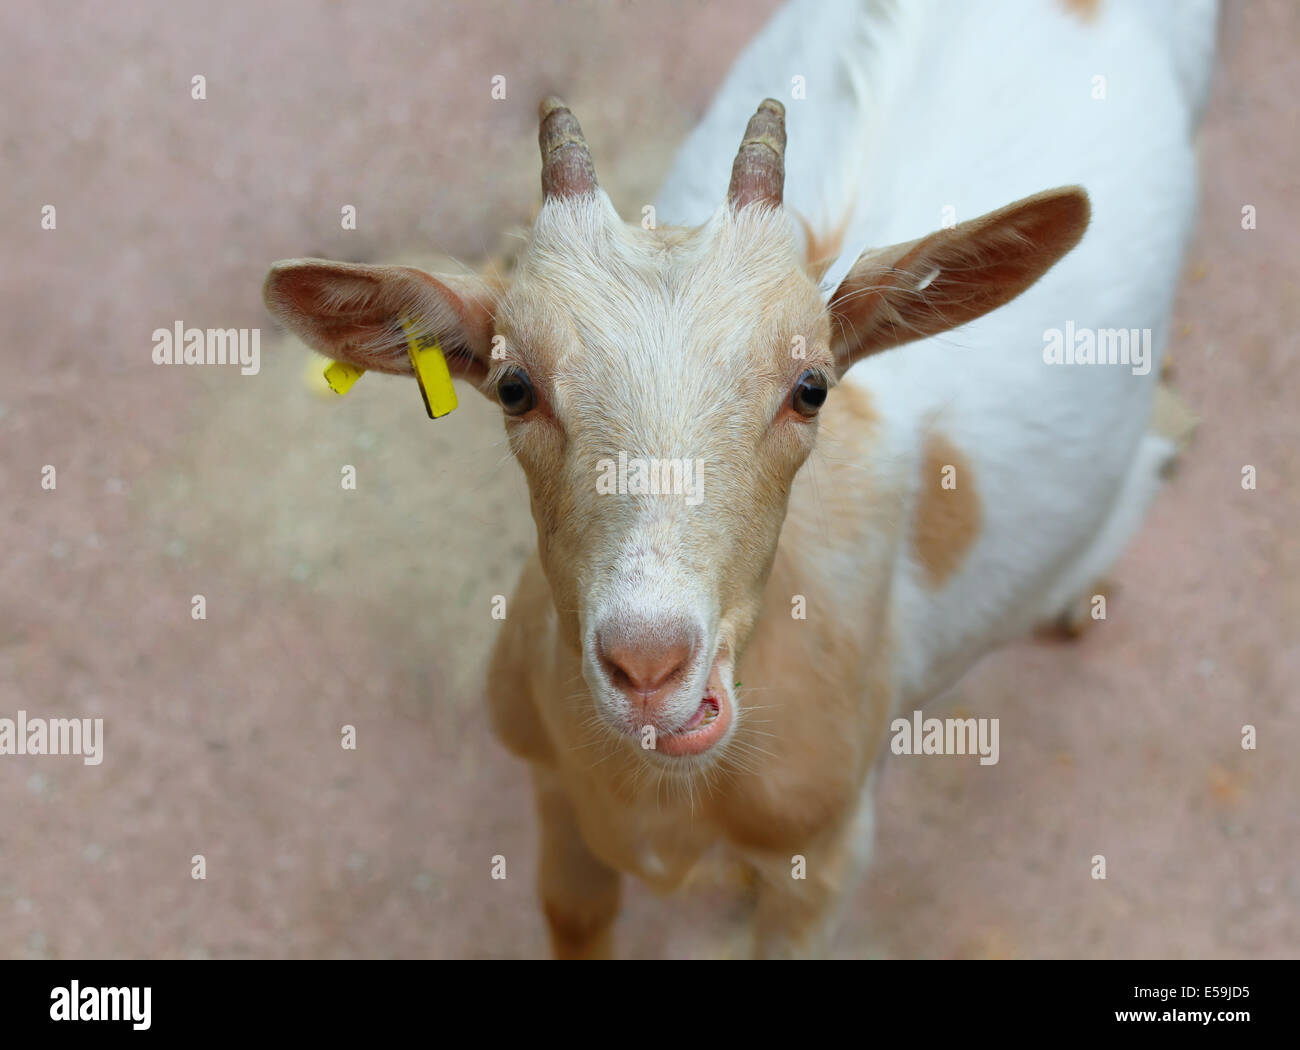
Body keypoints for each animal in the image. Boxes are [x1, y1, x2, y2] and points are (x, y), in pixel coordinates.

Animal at [262, 0, 1217, 957]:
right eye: (514, 386)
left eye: (811, 386)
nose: (650, 665)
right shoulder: (553, 796)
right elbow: (574, 913)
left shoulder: (826, 858)